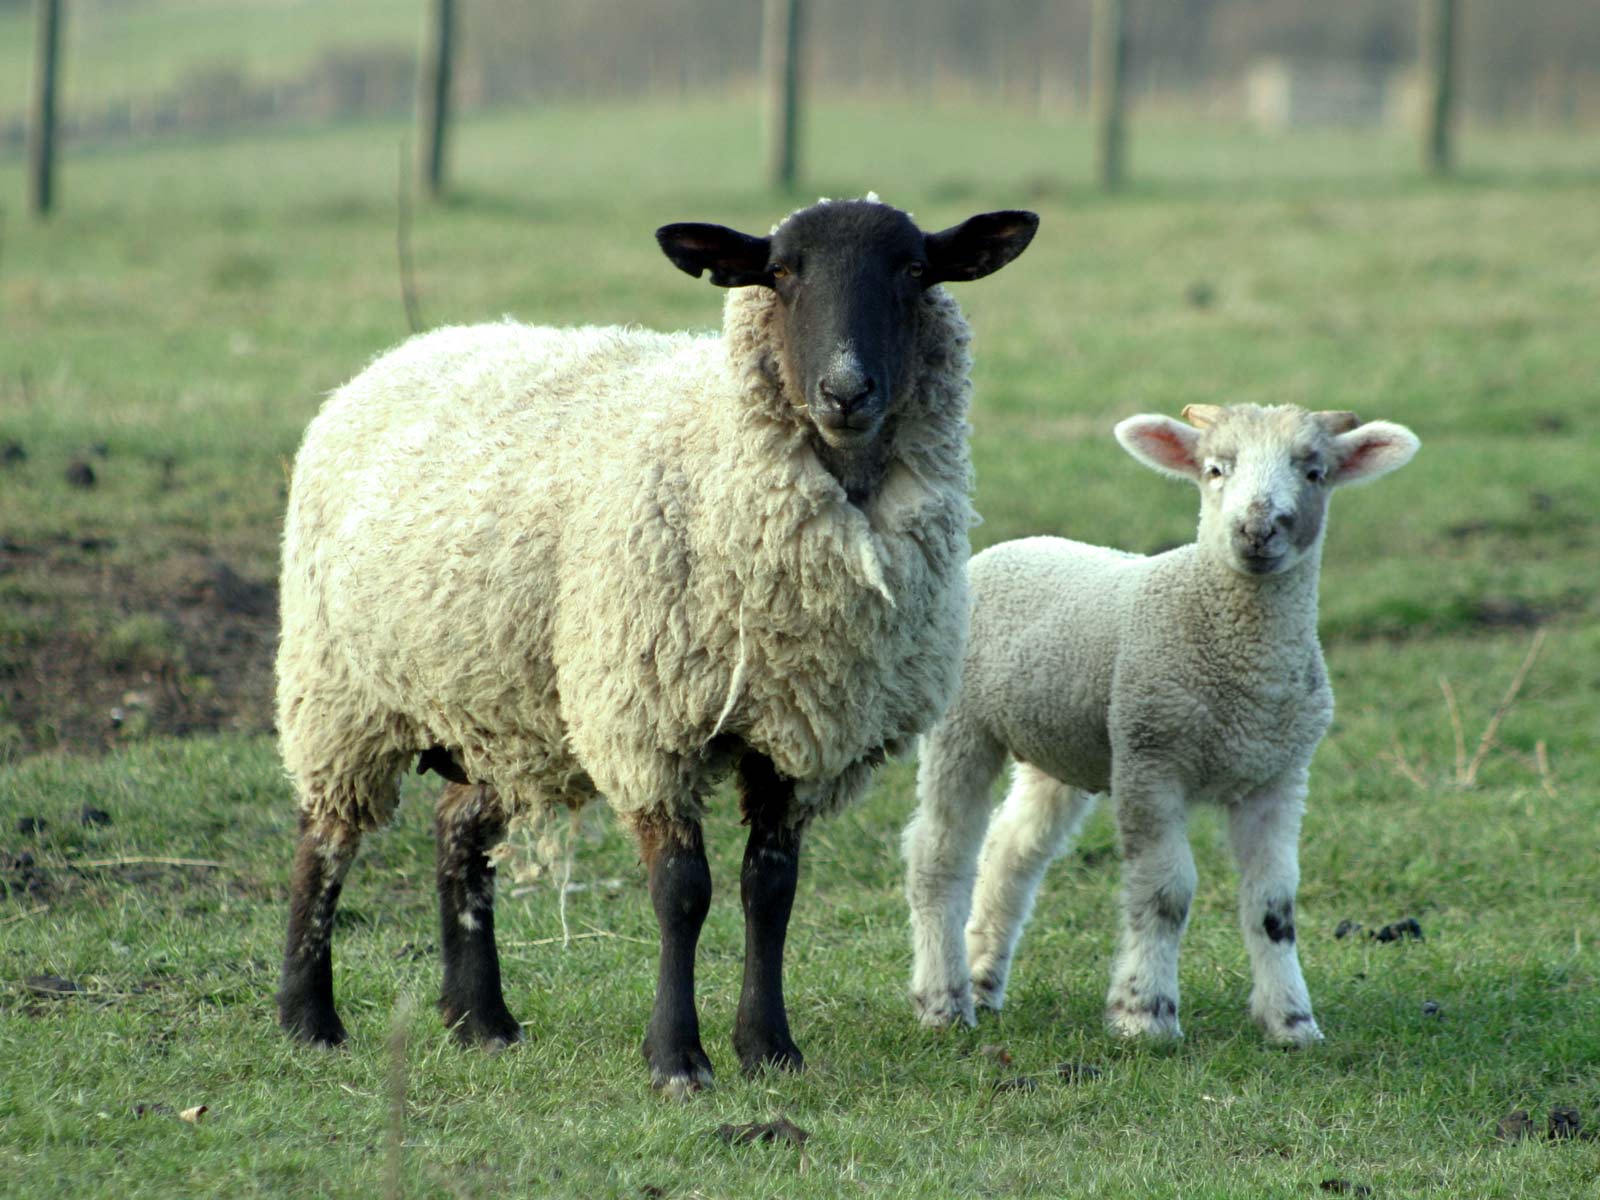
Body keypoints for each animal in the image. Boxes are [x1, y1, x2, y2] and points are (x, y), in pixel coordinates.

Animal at [274, 196, 1039, 1095]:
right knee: (325, 842)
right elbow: (682, 893)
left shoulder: (798, 731)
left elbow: (769, 891)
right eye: (780, 272)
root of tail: (404, 353)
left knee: (457, 834)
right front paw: (678, 1058)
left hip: (503, 705)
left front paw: (769, 1048)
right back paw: (309, 1019)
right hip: (339, 688)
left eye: (916, 270)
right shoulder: (650, 724)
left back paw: (480, 1021)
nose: (846, 391)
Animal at [903, 402, 1419, 1045]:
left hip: (1064, 743)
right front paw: (1144, 1014)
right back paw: (943, 1001)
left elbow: (1273, 904)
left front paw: (1292, 1021)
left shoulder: (1278, 776)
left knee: (1011, 849)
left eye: (1315, 472)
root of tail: (1005, 548)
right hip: (960, 725)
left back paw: (982, 978)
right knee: (939, 853)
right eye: (1215, 469)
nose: (1256, 531)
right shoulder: (1151, 759)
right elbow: (1165, 893)